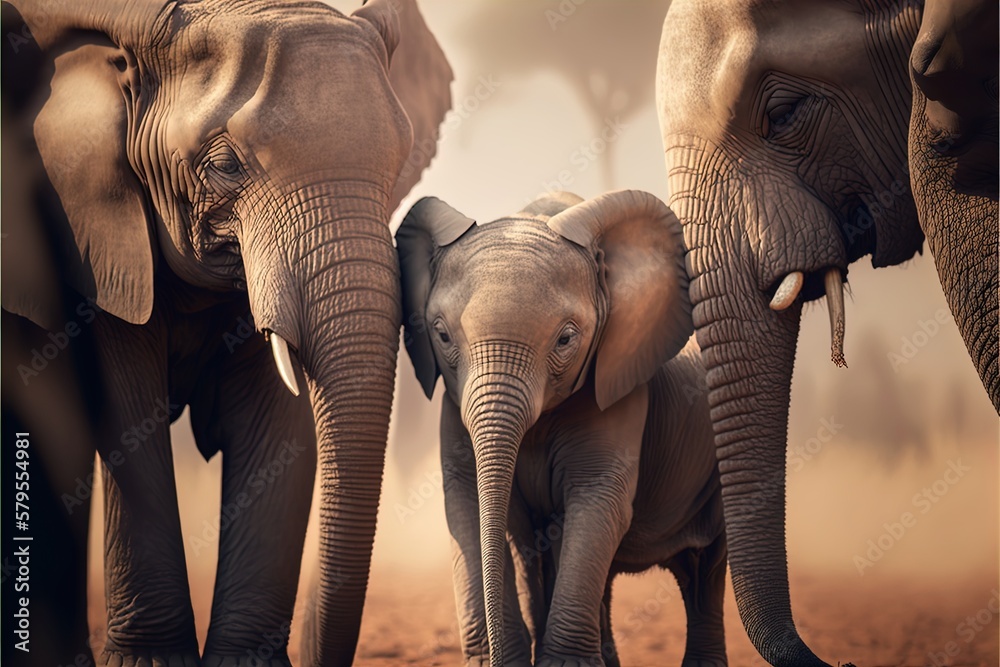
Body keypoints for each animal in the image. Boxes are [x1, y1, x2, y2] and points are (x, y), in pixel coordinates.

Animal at [1, 0, 451, 664]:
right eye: (224, 166)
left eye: (401, 162)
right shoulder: (99, 230)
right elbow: (127, 411)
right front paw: (151, 662)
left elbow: (278, 418)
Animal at [396, 190, 728, 667]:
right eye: (441, 335)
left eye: (566, 340)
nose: (498, 654)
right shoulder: (452, 405)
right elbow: (466, 502)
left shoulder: (619, 392)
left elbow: (598, 500)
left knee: (705, 568)